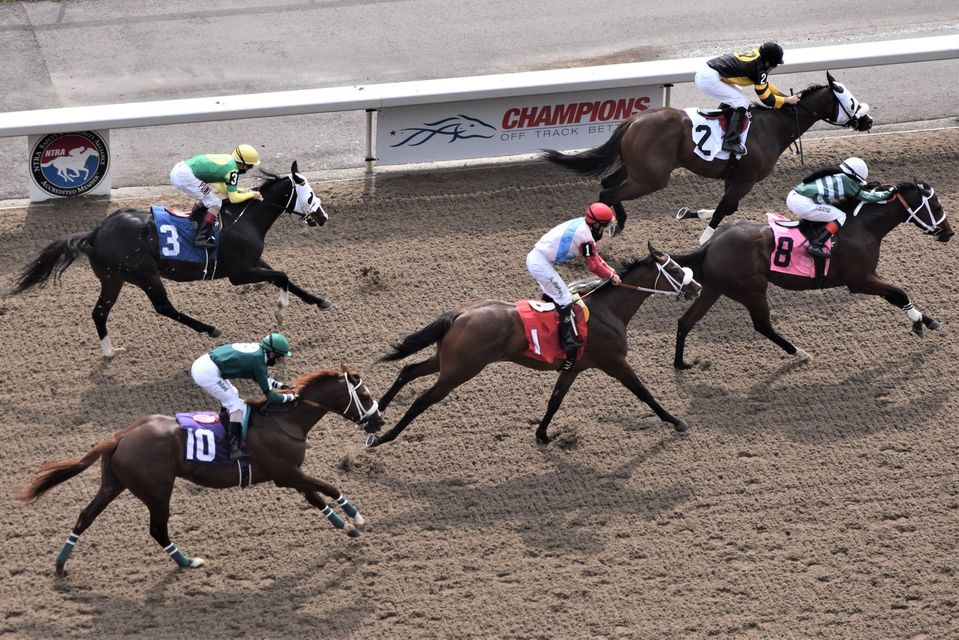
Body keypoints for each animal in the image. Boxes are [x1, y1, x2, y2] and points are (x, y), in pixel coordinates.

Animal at [9, 161, 330, 358]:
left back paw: (110, 352)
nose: (323, 217)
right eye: (309, 193)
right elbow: (281, 276)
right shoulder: (239, 273)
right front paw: (280, 311)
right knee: (163, 307)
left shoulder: (254, 262)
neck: (244, 219)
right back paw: (209, 328)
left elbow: (285, 276)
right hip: (145, 275)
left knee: (99, 312)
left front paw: (320, 301)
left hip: (114, 278)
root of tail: (95, 233)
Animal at [15, 366, 384, 577]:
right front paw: (357, 517)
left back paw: (61, 564)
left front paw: (347, 528)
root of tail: (120, 436)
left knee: (85, 517)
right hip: (157, 490)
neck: (285, 419)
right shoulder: (286, 472)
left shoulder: (289, 474)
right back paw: (186, 562)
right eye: (365, 395)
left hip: (114, 484)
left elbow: (316, 498)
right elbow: (329, 487)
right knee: (157, 529)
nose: (379, 421)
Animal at [365, 244, 702, 447]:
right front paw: (675, 421)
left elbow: (554, 401)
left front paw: (542, 434)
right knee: (422, 400)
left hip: (447, 360)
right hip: (460, 370)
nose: (697, 288)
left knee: (408, 370)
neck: (608, 311)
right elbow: (644, 393)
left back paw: (374, 417)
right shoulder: (614, 362)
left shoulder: (574, 367)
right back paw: (383, 438)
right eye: (674, 270)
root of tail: (461, 314)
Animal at [542, 72, 873, 237]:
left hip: (635, 169)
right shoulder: (745, 180)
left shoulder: (735, 177)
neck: (773, 127)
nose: (868, 120)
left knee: (607, 185)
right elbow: (722, 211)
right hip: (651, 178)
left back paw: (616, 223)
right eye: (850, 101)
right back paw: (604, 228)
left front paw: (689, 213)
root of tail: (633, 121)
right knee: (607, 193)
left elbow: (726, 208)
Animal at [670, 181, 952, 369]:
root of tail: (712, 245)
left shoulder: (869, 275)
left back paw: (680, 363)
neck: (862, 227)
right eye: (937, 206)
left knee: (685, 321)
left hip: (715, 288)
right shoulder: (859, 280)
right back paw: (800, 353)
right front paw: (920, 322)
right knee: (762, 325)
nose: (949, 233)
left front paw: (927, 320)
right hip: (751, 291)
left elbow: (896, 295)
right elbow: (899, 292)